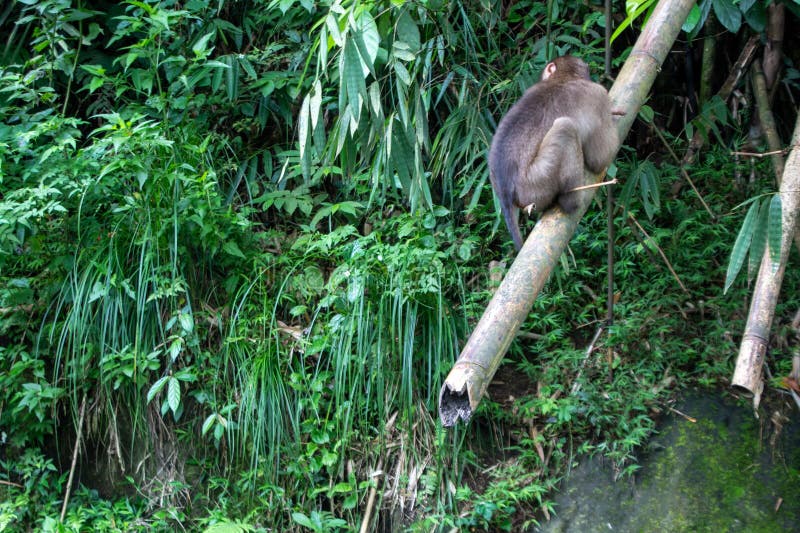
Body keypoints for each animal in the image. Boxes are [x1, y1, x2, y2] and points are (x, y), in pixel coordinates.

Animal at [488, 55, 619, 251]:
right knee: (566, 128)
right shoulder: (598, 94)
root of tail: (504, 192)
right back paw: (571, 202)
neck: (563, 77)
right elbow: (600, 159)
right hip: (536, 184)